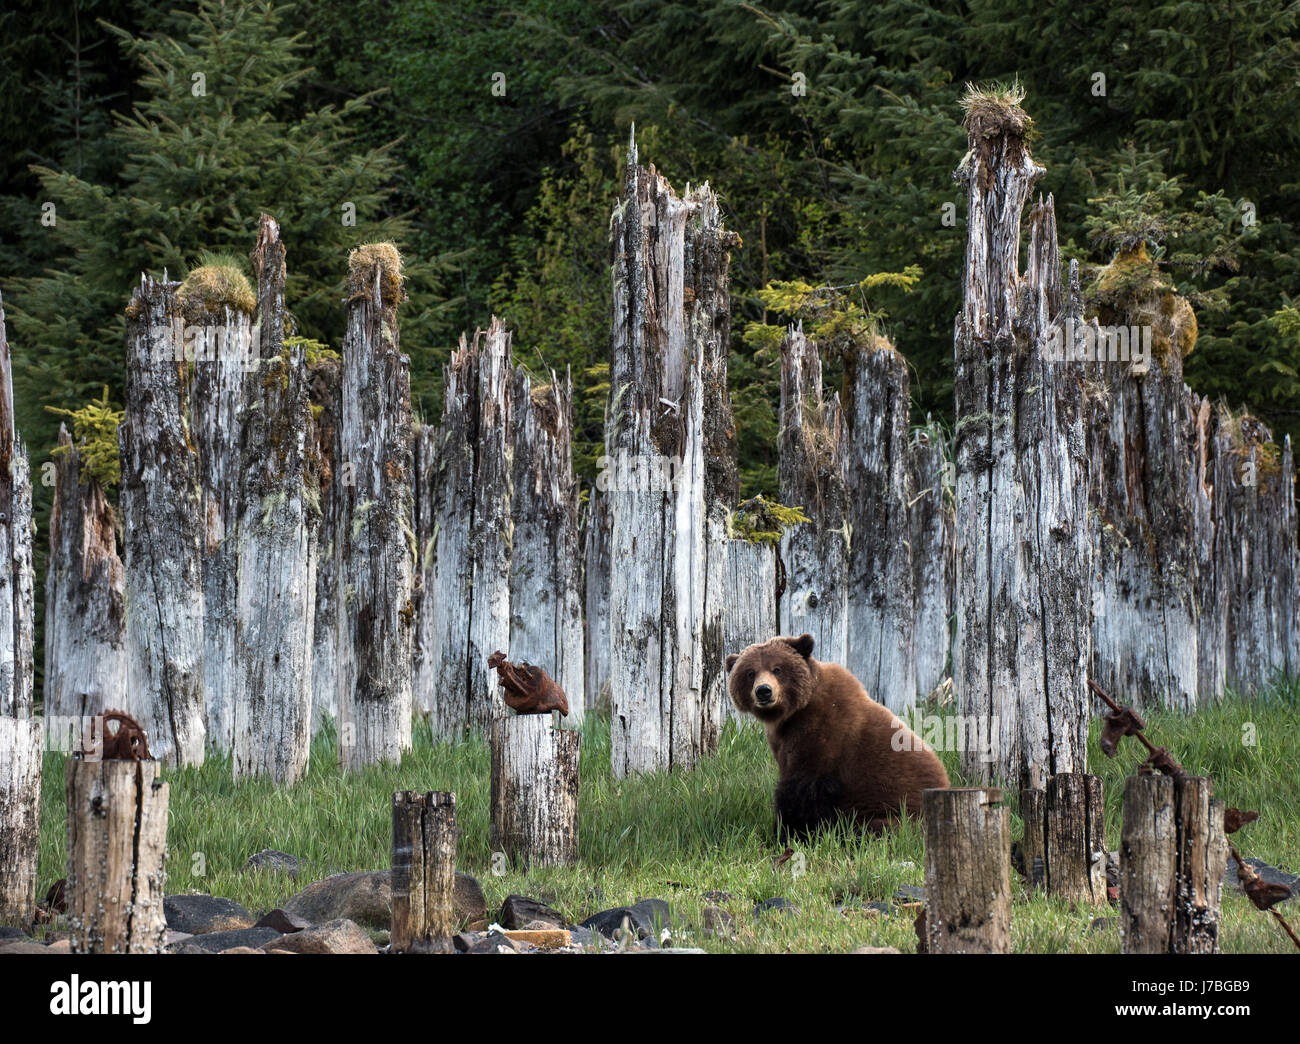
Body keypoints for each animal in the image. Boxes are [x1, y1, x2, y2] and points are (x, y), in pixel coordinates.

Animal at [725, 633, 949, 839]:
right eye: (750, 673)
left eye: (777, 669)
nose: (764, 691)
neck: (791, 714)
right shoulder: (783, 740)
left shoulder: (822, 734)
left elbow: (802, 789)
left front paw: (790, 833)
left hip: (900, 816)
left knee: (875, 828)